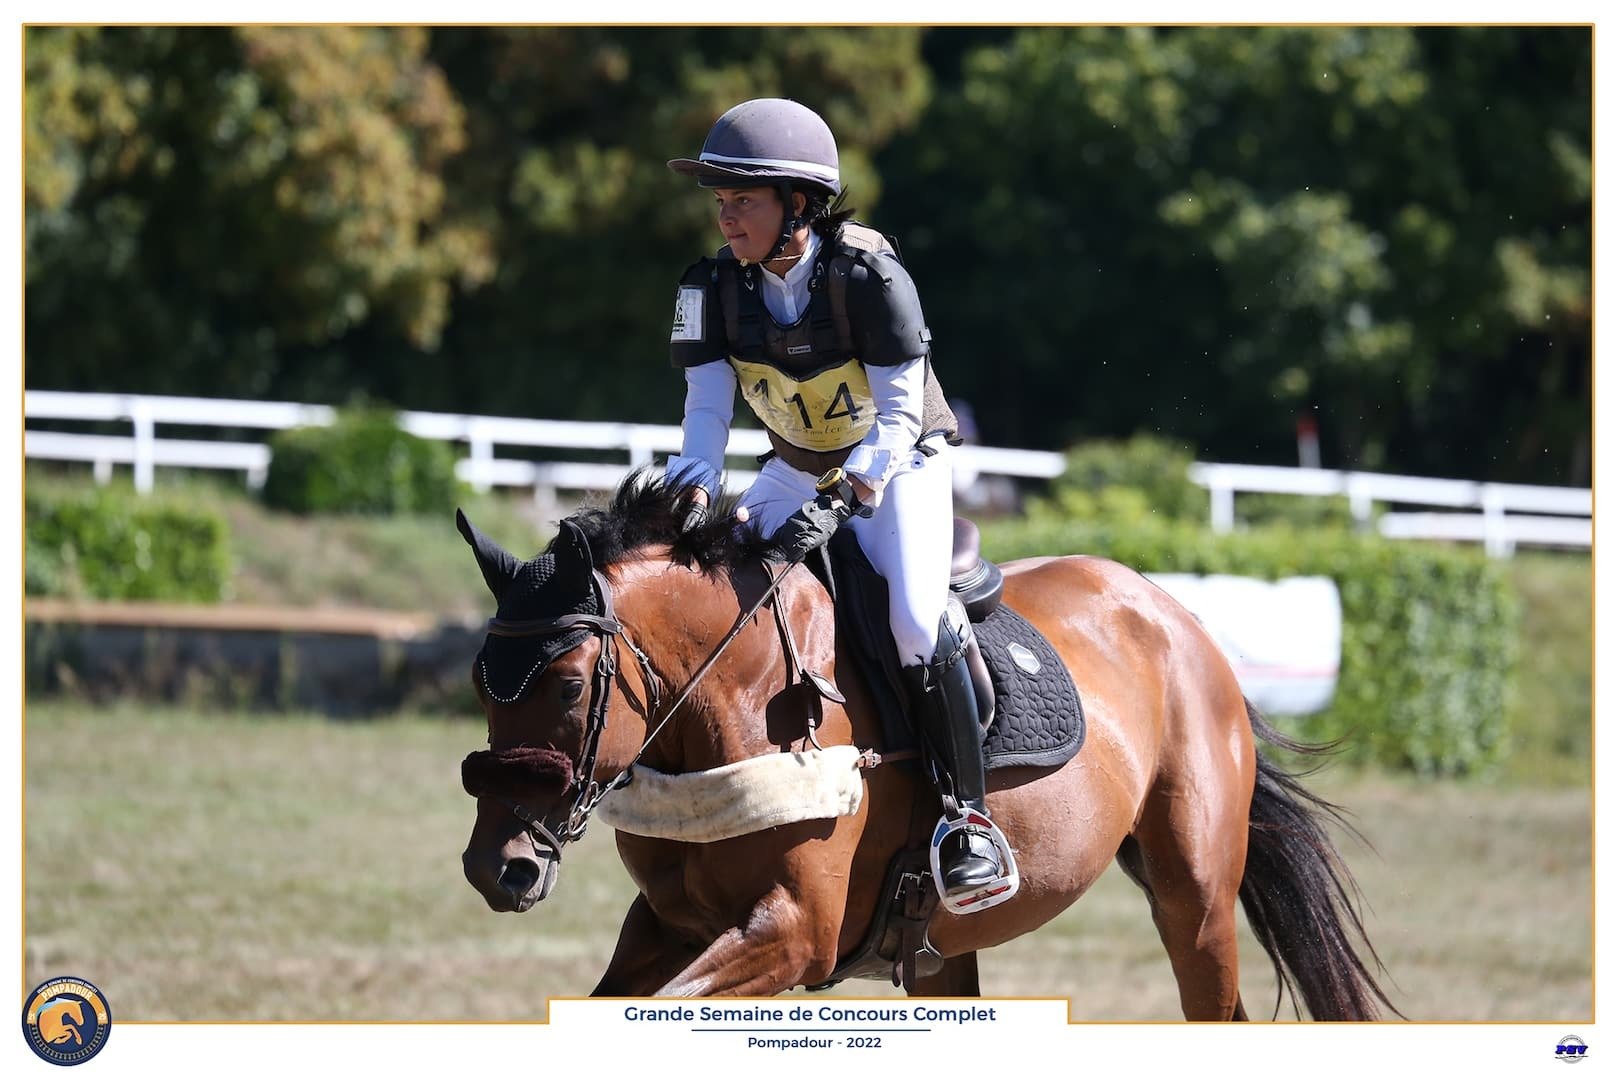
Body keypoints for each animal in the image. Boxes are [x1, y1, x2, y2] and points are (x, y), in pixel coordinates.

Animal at [457, 473, 1396, 1019]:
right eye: (479, 683)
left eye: (569, 686)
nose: (496, 868)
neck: (738, 698)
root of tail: (1177, 614)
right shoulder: (669, 923)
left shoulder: (792, 933)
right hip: (945, 946)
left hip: (1193, 898)